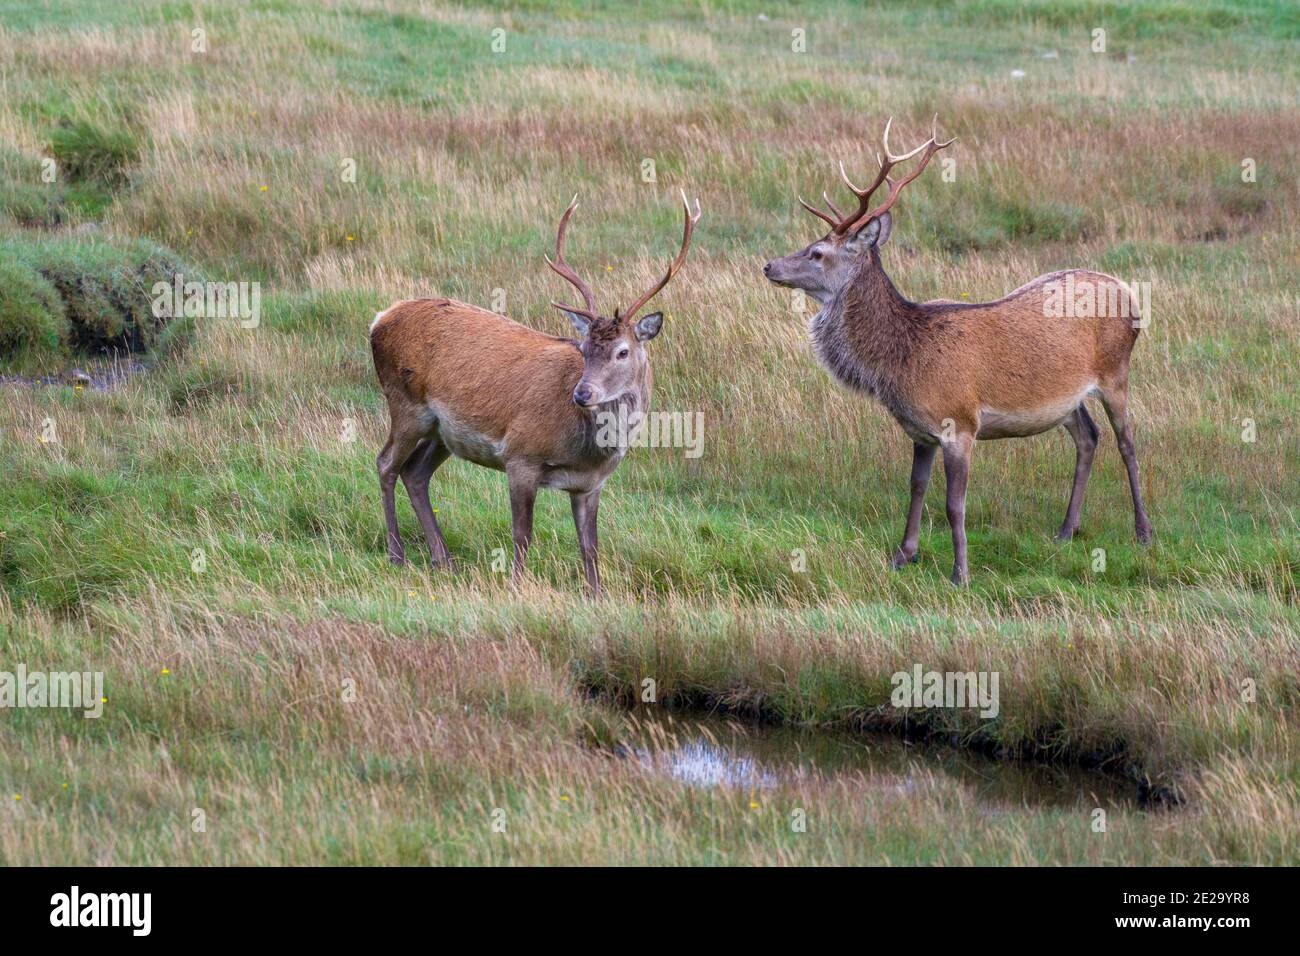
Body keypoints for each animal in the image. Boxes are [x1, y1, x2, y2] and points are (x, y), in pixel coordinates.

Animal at [369, 192, 701, 598]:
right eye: (583, 348)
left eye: (622, 351)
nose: (582, 393)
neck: (588, 450)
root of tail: (379, 319)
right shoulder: (520, 455)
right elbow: (522, 533)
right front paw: (516, 587)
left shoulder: (590, 484)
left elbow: (590, 545)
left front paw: (596, 596)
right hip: (405, 403)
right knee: (386, 463)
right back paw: (397, 554)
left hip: (443, 431)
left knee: (415, 472)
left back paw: (443, 560)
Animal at [763, 117, 1152, 585]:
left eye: (817, 252)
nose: (769, 265)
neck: (902, 361)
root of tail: (1130, 294)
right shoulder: (919, 430)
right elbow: (916, 488)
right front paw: (902, 555)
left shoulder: (960, 424)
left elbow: (953, 505)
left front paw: (960, 573)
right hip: (1065, 398)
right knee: (1088, 437)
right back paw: (1064, 531)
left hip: (1116, 372)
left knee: (1127, 443)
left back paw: (1143, 532)